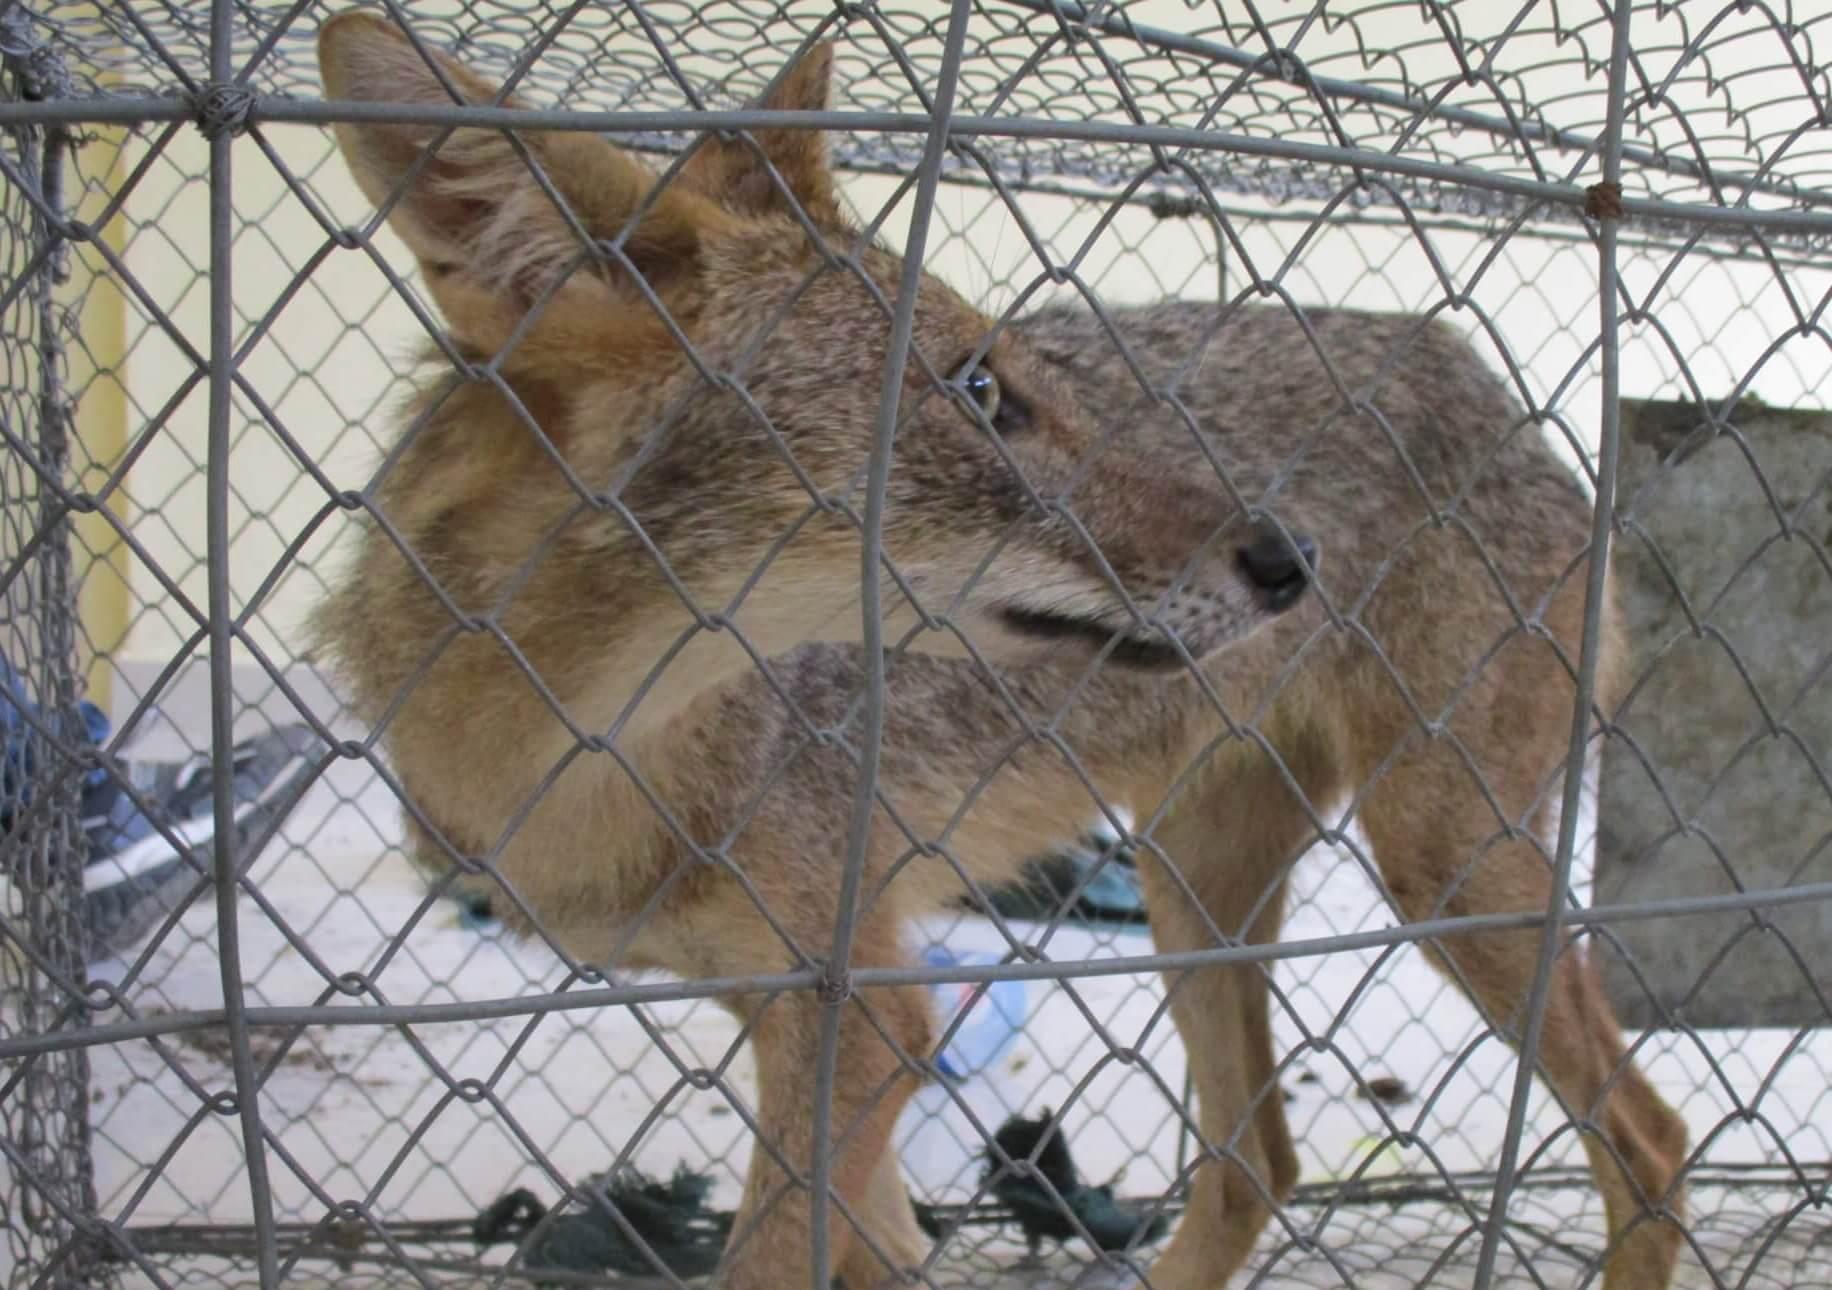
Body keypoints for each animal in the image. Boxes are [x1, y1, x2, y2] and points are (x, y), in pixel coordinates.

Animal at [311, 13, 1688, 1290]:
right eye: (980, 392)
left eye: (1016, 373)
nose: (1288, 558)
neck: (566, 760)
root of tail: (1499, 392)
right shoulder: (820, 1022)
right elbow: (879, 1247)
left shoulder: (866, 1018)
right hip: (1198, 897)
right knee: (1255, 1161)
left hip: (1440, 879)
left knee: (1649, 1142)